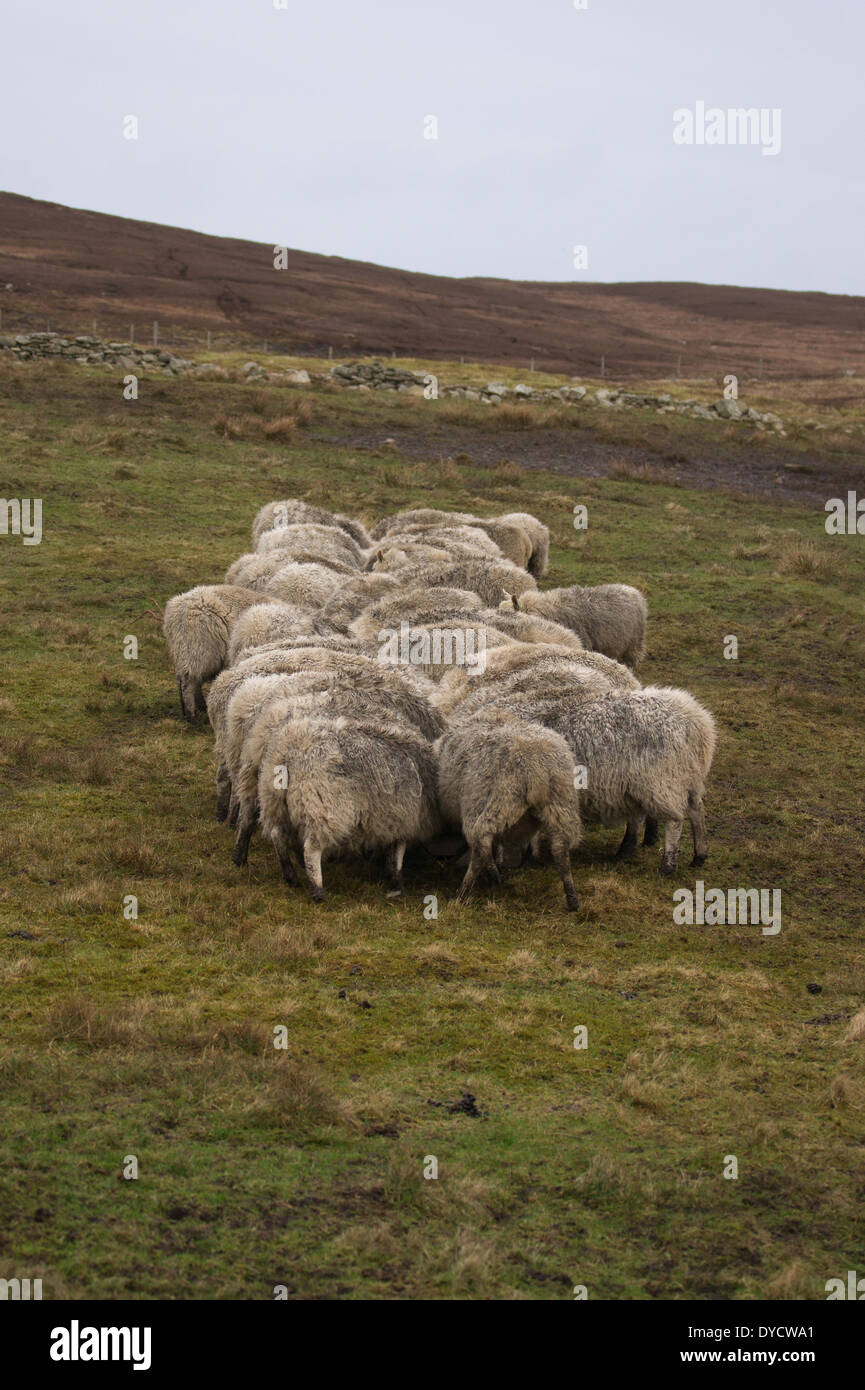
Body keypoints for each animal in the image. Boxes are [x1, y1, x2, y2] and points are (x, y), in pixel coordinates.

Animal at [162, 584, 277, 720]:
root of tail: (180, 610)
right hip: (199, 649)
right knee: (188, 682)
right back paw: (192, 715)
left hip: (184, 650)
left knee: (187, 679)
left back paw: (198, 707)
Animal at [257, 714, 440, 900]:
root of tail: (292, 748)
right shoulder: (407, 819)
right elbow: (398, 855)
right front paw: (397, 885)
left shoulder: (396, 820)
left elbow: (392, 853)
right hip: (324, 807)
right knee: (311, 848)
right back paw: (318, 890)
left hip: (275, 801)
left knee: (277, 834)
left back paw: (290, 876)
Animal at [436, 713, 582, 910]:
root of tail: (535, 766)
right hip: (561, 803)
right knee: (561, 847)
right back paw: (572, 898)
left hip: (494, 798)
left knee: (481, 842)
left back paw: (465, 892)